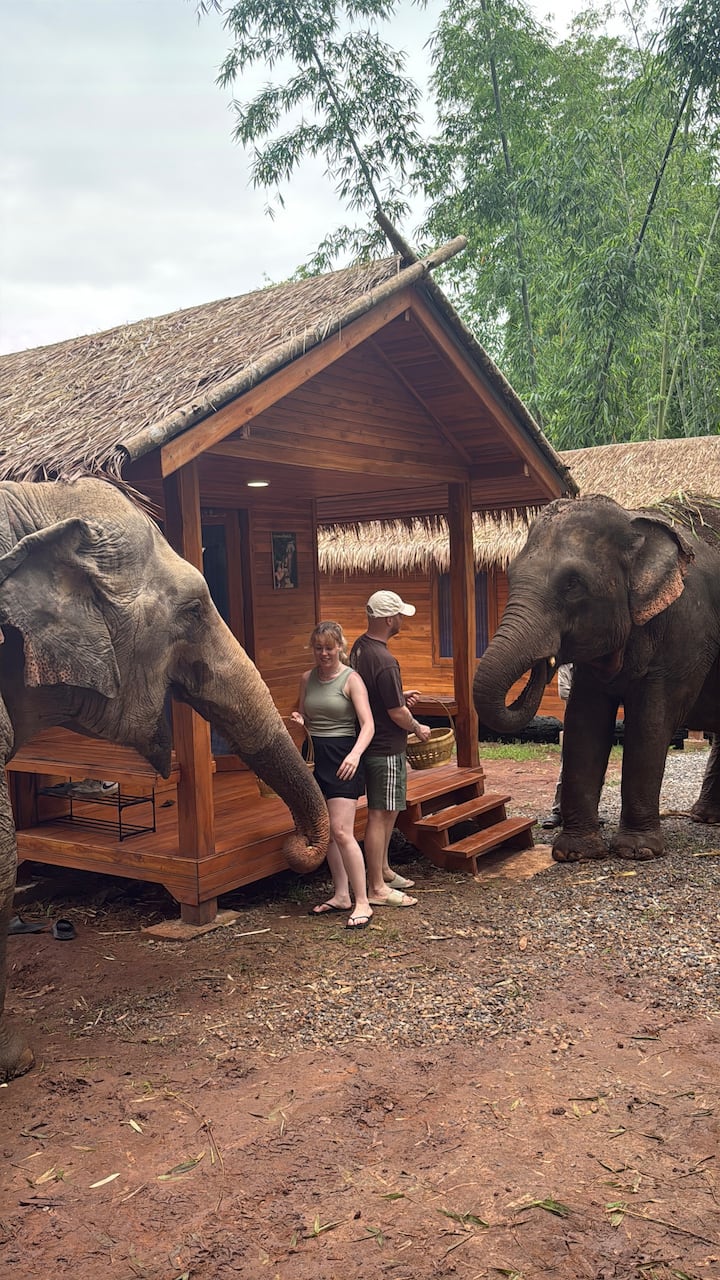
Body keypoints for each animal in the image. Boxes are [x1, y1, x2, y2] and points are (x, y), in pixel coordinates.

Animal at [473, 492, 720, 864]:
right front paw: (577, 853)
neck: (633, 520)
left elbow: (651, 721)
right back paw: (705, 818)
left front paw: (637, 851)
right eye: (511, 574)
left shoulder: (686, 631)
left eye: (572, 584)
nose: (545, 663)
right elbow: (583, 721)